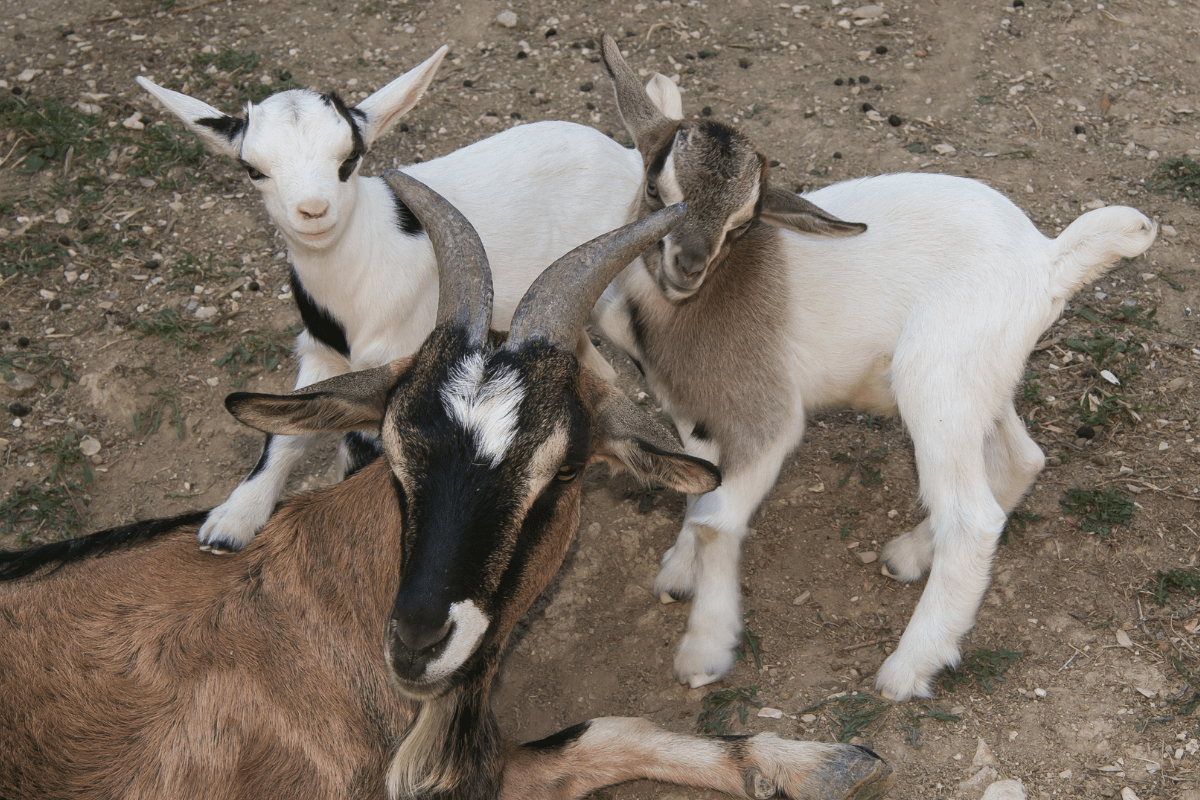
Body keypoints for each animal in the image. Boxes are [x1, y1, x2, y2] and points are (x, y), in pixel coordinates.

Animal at [0, 172, 892, 800]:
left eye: (566, 468)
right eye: (393, 455)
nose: (417, 645)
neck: (306, 605)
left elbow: (597, 734)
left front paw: (813, 761)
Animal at [136, 47, 644, 554]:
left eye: (350, 158)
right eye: (253, 169)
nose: (313, 211)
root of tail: (628, 155)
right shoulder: (322, 353)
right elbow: (286, 430)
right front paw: (233, 521)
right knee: (601, 369)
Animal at [592, 34, 1159, 701]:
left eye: (743, 222)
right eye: (656, 192)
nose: (688, 265)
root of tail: (1047, 259)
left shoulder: (766, 414)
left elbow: (717, 520)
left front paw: (705, 649)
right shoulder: (695, 411)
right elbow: (698, 484)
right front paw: (679, 571)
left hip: (933, 381)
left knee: (972, 519)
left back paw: (910, 665)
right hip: (977, 379)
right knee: (1022, 458)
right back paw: (912, 553)